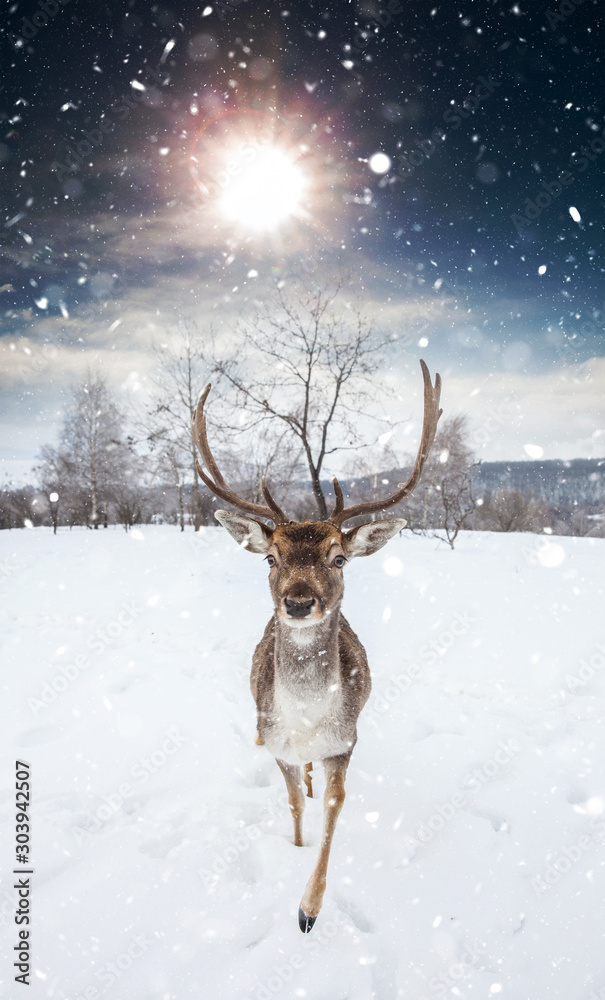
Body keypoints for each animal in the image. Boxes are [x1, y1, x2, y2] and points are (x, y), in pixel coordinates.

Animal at [192, 359, 442, 933]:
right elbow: (294, 807)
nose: (300, 601)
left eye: (339, 557)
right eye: (271, 557)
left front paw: (308, 909)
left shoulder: (344, 742)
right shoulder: (278, 745)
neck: (305, 722)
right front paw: (296, 848)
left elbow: (333, 807)